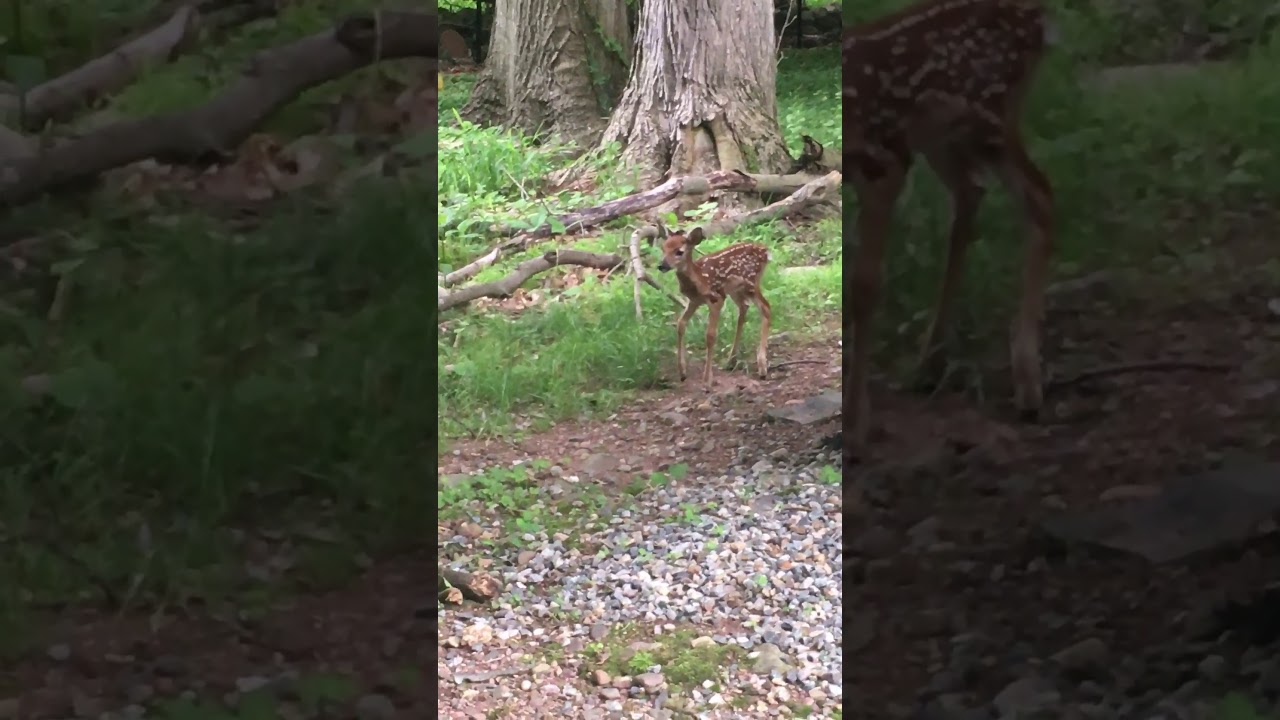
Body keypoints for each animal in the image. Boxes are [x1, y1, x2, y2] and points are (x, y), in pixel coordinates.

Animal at [649, 224, 772, 387]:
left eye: (679, 251)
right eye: (663, 248)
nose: (662, 265)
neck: (699, 278)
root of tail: (765, 251)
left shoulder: (716, 298)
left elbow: (710, 335)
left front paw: (707, 380)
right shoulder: (694, 301)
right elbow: (681, 324)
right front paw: (682, 372)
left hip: (751, 283)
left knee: (766, 307)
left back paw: (762, 367)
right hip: (735, 290)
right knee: (744, 308)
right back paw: (731, 361)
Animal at [844, 0, 1056, 464]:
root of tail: (1037, 15)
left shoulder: (882, 159)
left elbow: (865, 285)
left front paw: (855, 427)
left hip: (989, 116)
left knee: (1039, 193)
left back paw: (1028, 383)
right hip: (943, 135)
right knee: (972, 192)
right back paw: (929, 364)